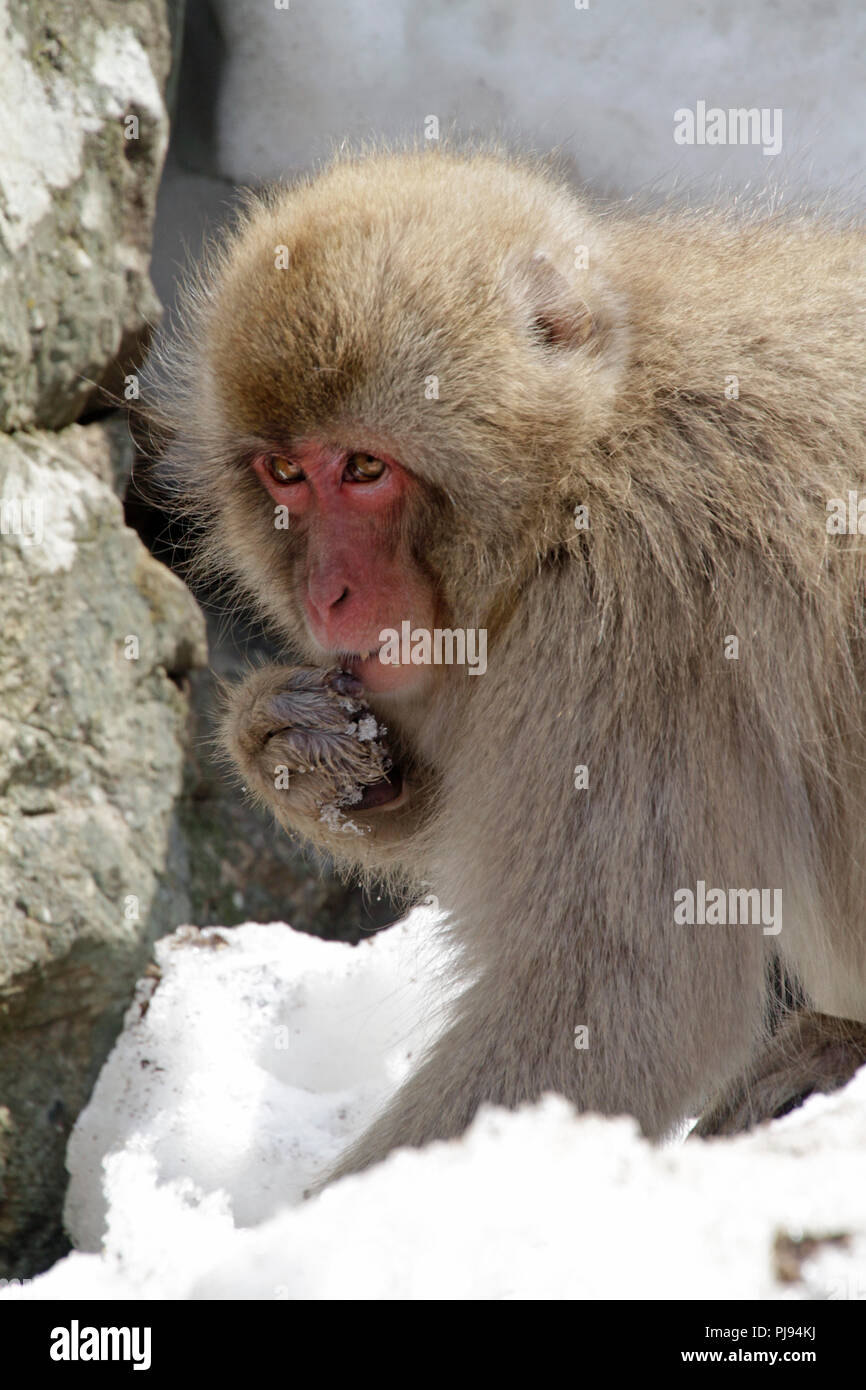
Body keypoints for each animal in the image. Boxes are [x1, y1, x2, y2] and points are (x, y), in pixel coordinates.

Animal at [145, 146, 866, 1181]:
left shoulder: (635, 624)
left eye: (364, 469)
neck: (581, 466)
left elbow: (618, 1006)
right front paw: (290, 747)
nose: (326, 596)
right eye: (286, 474)